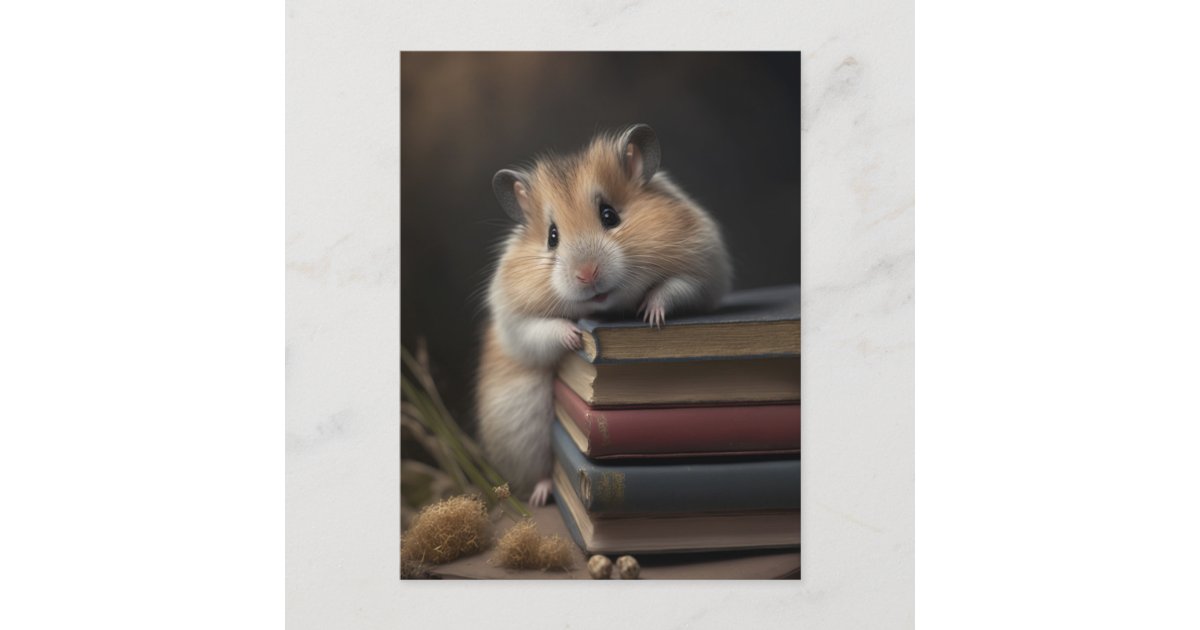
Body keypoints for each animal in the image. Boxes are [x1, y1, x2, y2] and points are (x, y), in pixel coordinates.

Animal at [476, 124, 732, 507]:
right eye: (552, 237)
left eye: (609, 215)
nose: (587, 275)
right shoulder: (514, 320)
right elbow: (542, 329)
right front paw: (574, 336)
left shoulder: (702, 270)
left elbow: (671, 289)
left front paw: (650, 317)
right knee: (541, 470)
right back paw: (540, 496)